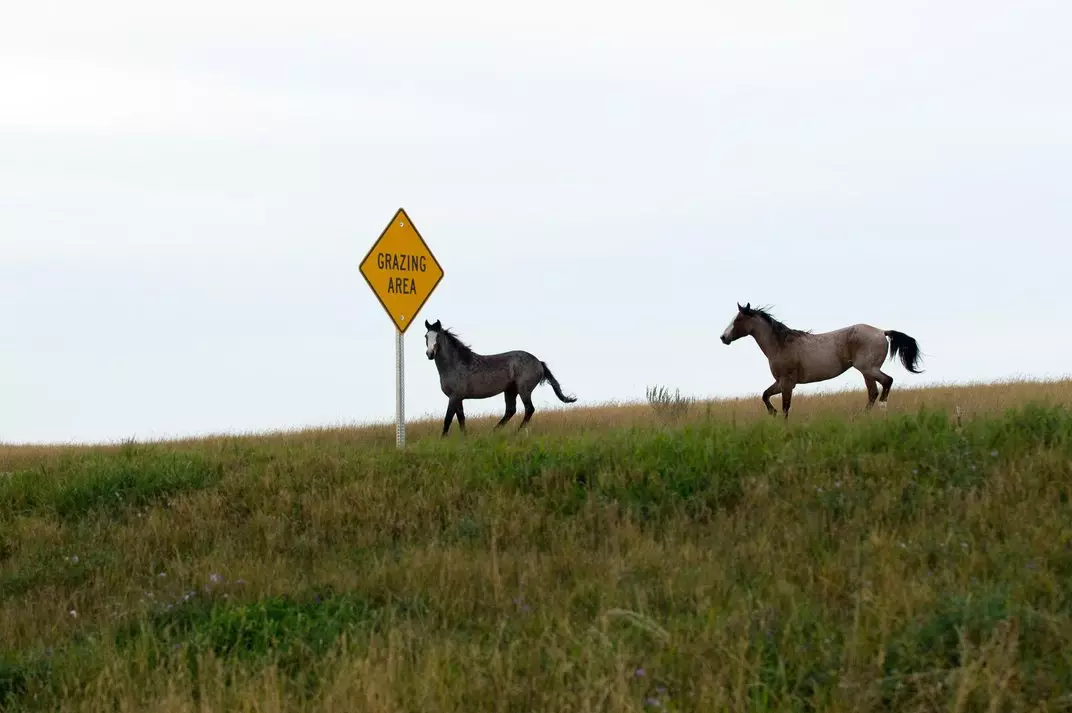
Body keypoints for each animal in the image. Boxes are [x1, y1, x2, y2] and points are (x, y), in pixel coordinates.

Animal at [424, 319, 578, 437]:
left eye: (437, 337)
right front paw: (464, 437)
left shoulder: (454, 396)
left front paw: (443, 438)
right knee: (510, 411)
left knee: (529, 409)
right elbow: (461, 418)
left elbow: (448, 418)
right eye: (426, 336)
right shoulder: (458, 398)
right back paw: (493, 431)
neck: (456, 364)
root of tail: (538, 362)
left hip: (524, 390)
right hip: (510, 390)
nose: (430, 354)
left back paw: (516, 432)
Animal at [720, 300, 921, 418]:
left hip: (868, 369)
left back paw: (877, 411)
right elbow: (765, 395)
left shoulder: (787, 383)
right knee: (874, 391)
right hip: (867, 372)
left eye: (738, 320)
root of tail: (882, 332)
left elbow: (785, 407)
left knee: (886, 383)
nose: (723, 337)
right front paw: (772, 413)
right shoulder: (781, 382)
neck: (780, 345)